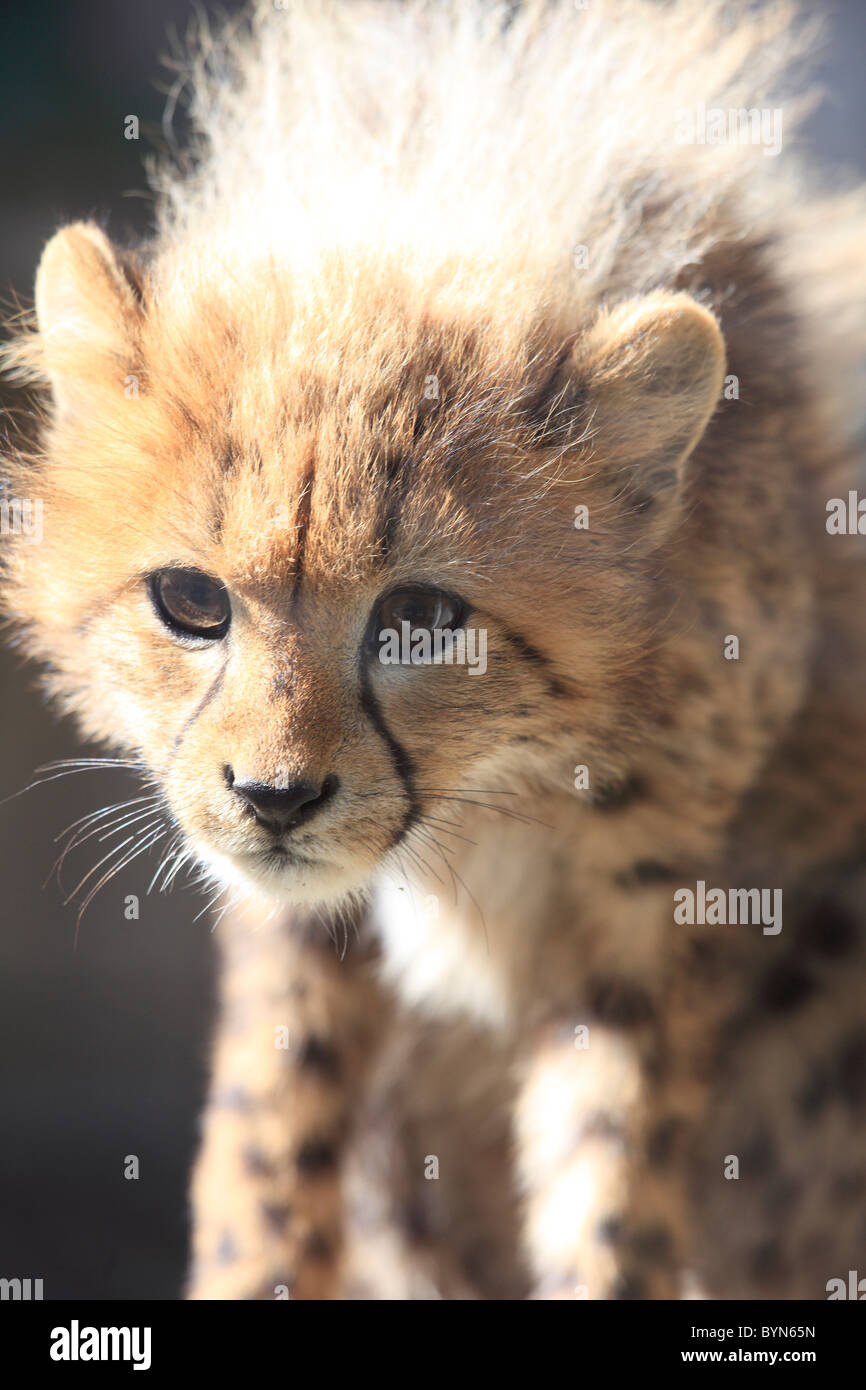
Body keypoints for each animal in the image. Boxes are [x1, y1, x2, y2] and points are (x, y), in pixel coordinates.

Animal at [3, 0, 866, 1300]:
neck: (495, 803)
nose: (275, 797)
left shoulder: (642, 913)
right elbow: (270, 1138)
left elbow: (611, 1178)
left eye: (420, 618)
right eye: (190, 601)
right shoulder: (297, 919)